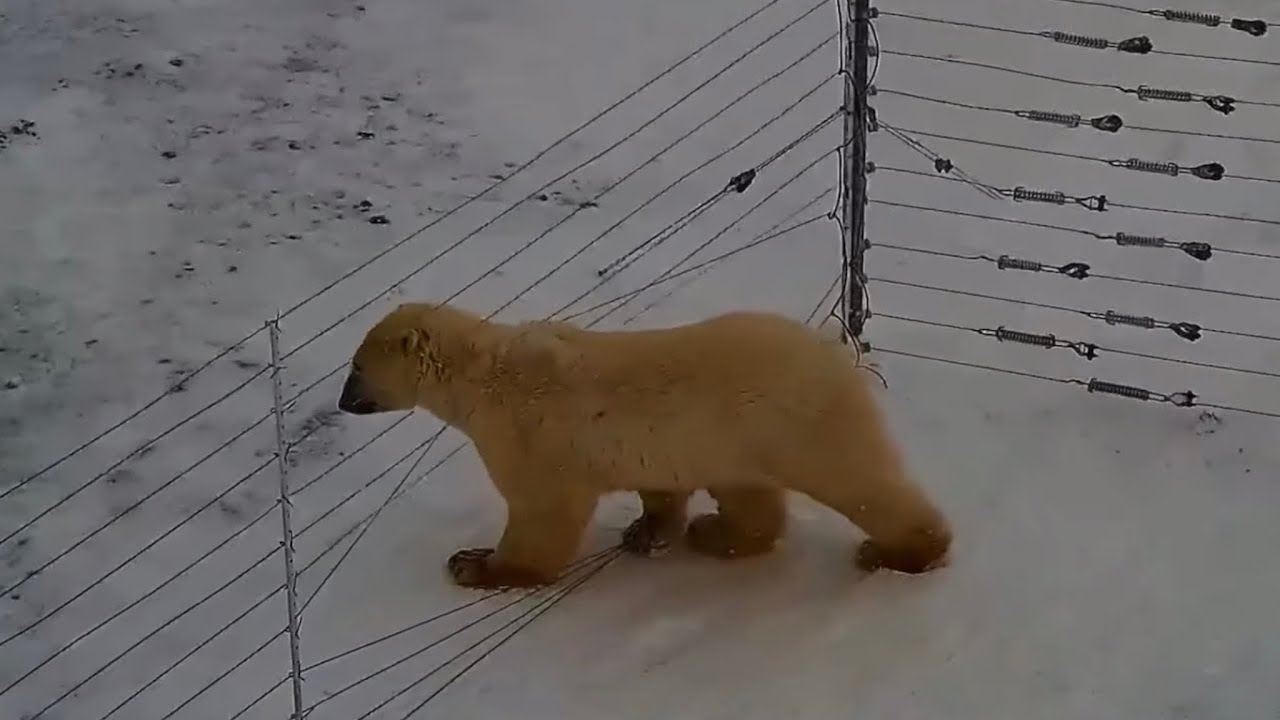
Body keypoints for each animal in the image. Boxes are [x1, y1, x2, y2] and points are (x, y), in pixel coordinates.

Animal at [337, 301, 951, 590]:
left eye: (357, 367)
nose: (343, 402)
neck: (484, 373)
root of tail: (836, 351)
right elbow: (658, 488)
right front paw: (647, 532)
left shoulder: (527, 432)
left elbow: (542, 515)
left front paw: (473, 564)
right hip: (735, 437)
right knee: (750, 497)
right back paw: (715, 532)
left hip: (793, 422)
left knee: (861, 482)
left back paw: (899, 551)